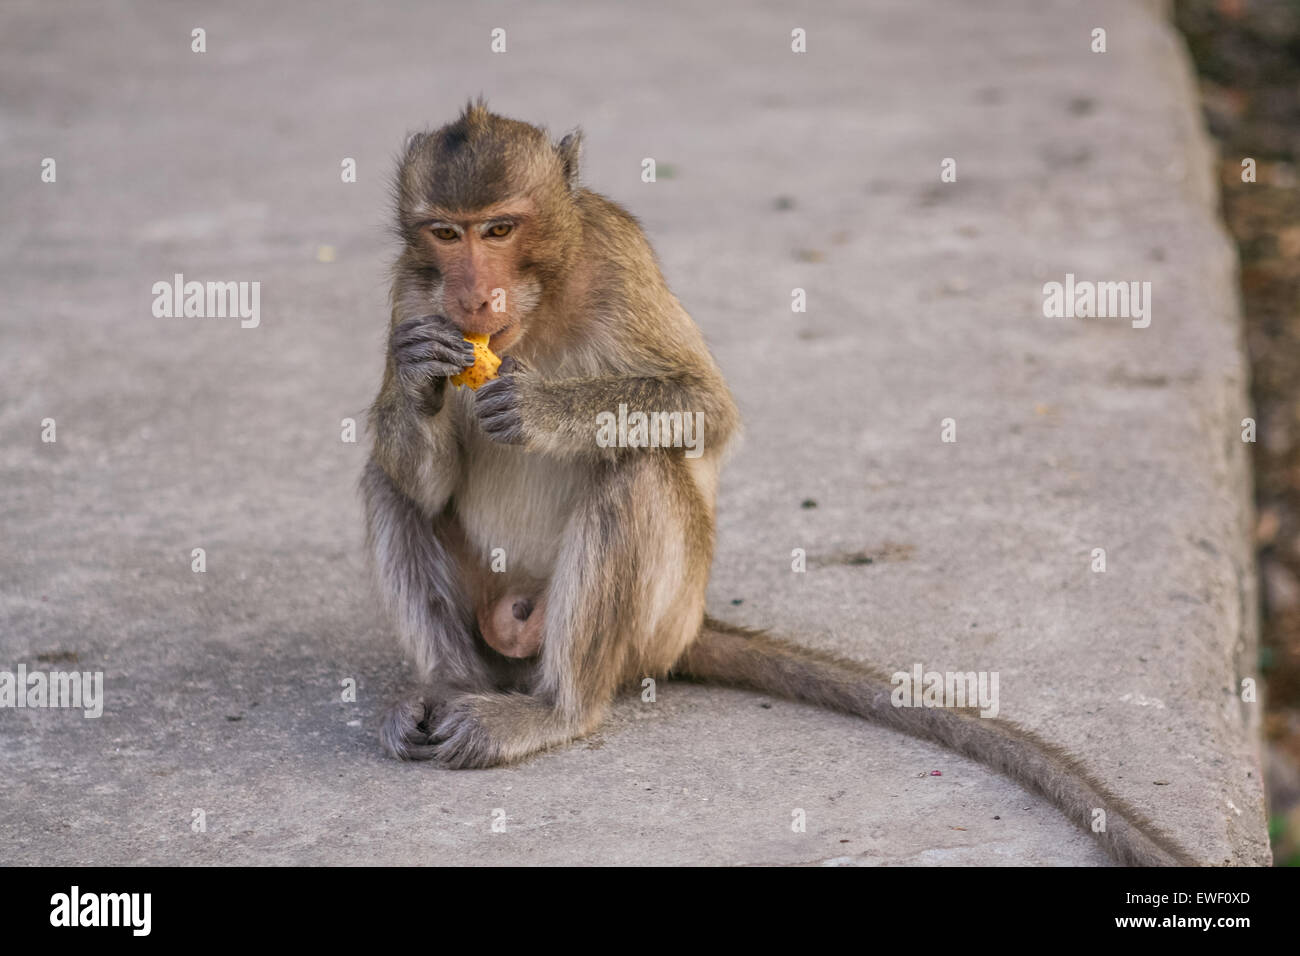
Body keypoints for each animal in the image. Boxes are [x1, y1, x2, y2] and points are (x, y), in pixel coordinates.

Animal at [361, 100, 1196, 867]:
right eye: (446, 233)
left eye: (500, 230)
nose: (472, 297)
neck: (535, 311)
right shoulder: (411, 292)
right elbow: (420, 477)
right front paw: (419, 376)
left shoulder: (616, 260)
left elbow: (704, 409)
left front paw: (541, 409)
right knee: (387, 483)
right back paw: (446, 686)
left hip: (654, 622)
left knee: (638, 469)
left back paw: (559, 710)